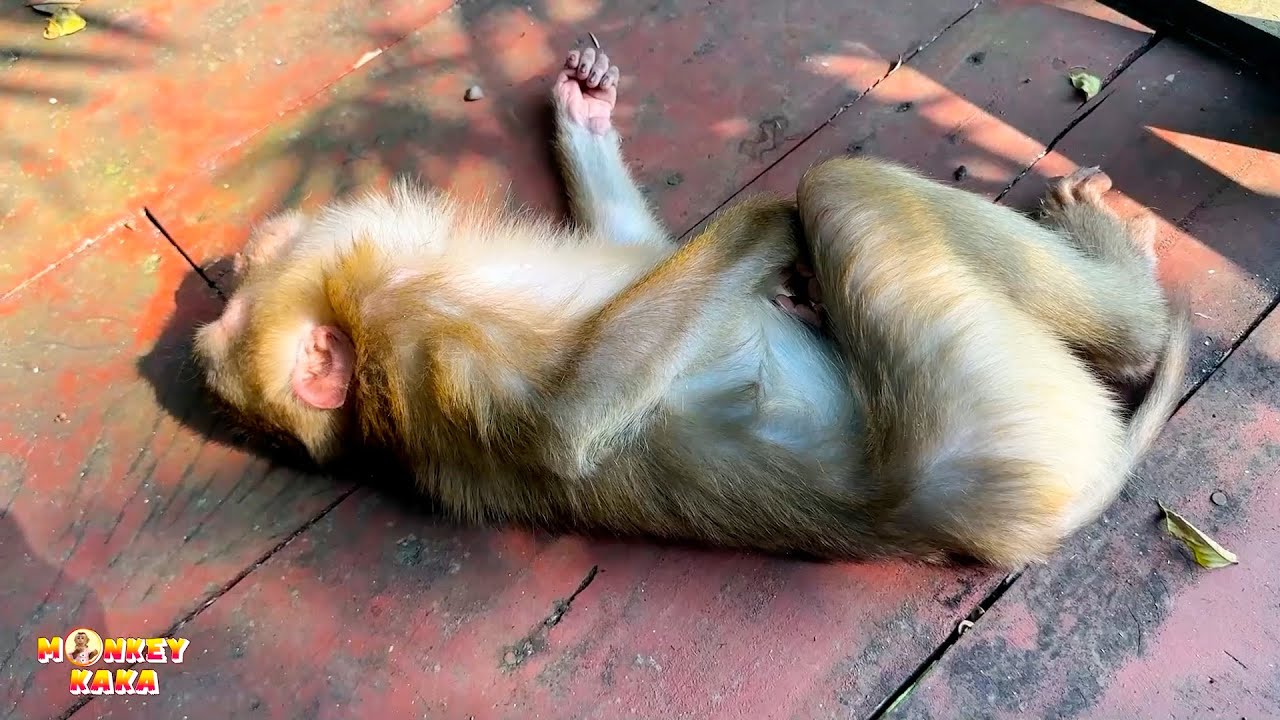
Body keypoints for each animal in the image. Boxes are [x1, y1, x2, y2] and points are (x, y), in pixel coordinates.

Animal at [192, 41, 1189, 569]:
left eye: (239, 285)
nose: (237, 256)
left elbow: (636, 248)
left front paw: (583, 109)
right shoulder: (438, 337)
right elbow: (566, 428)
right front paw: (766, 227)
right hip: (997, 415)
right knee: (848, 192)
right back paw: (1133, 312)